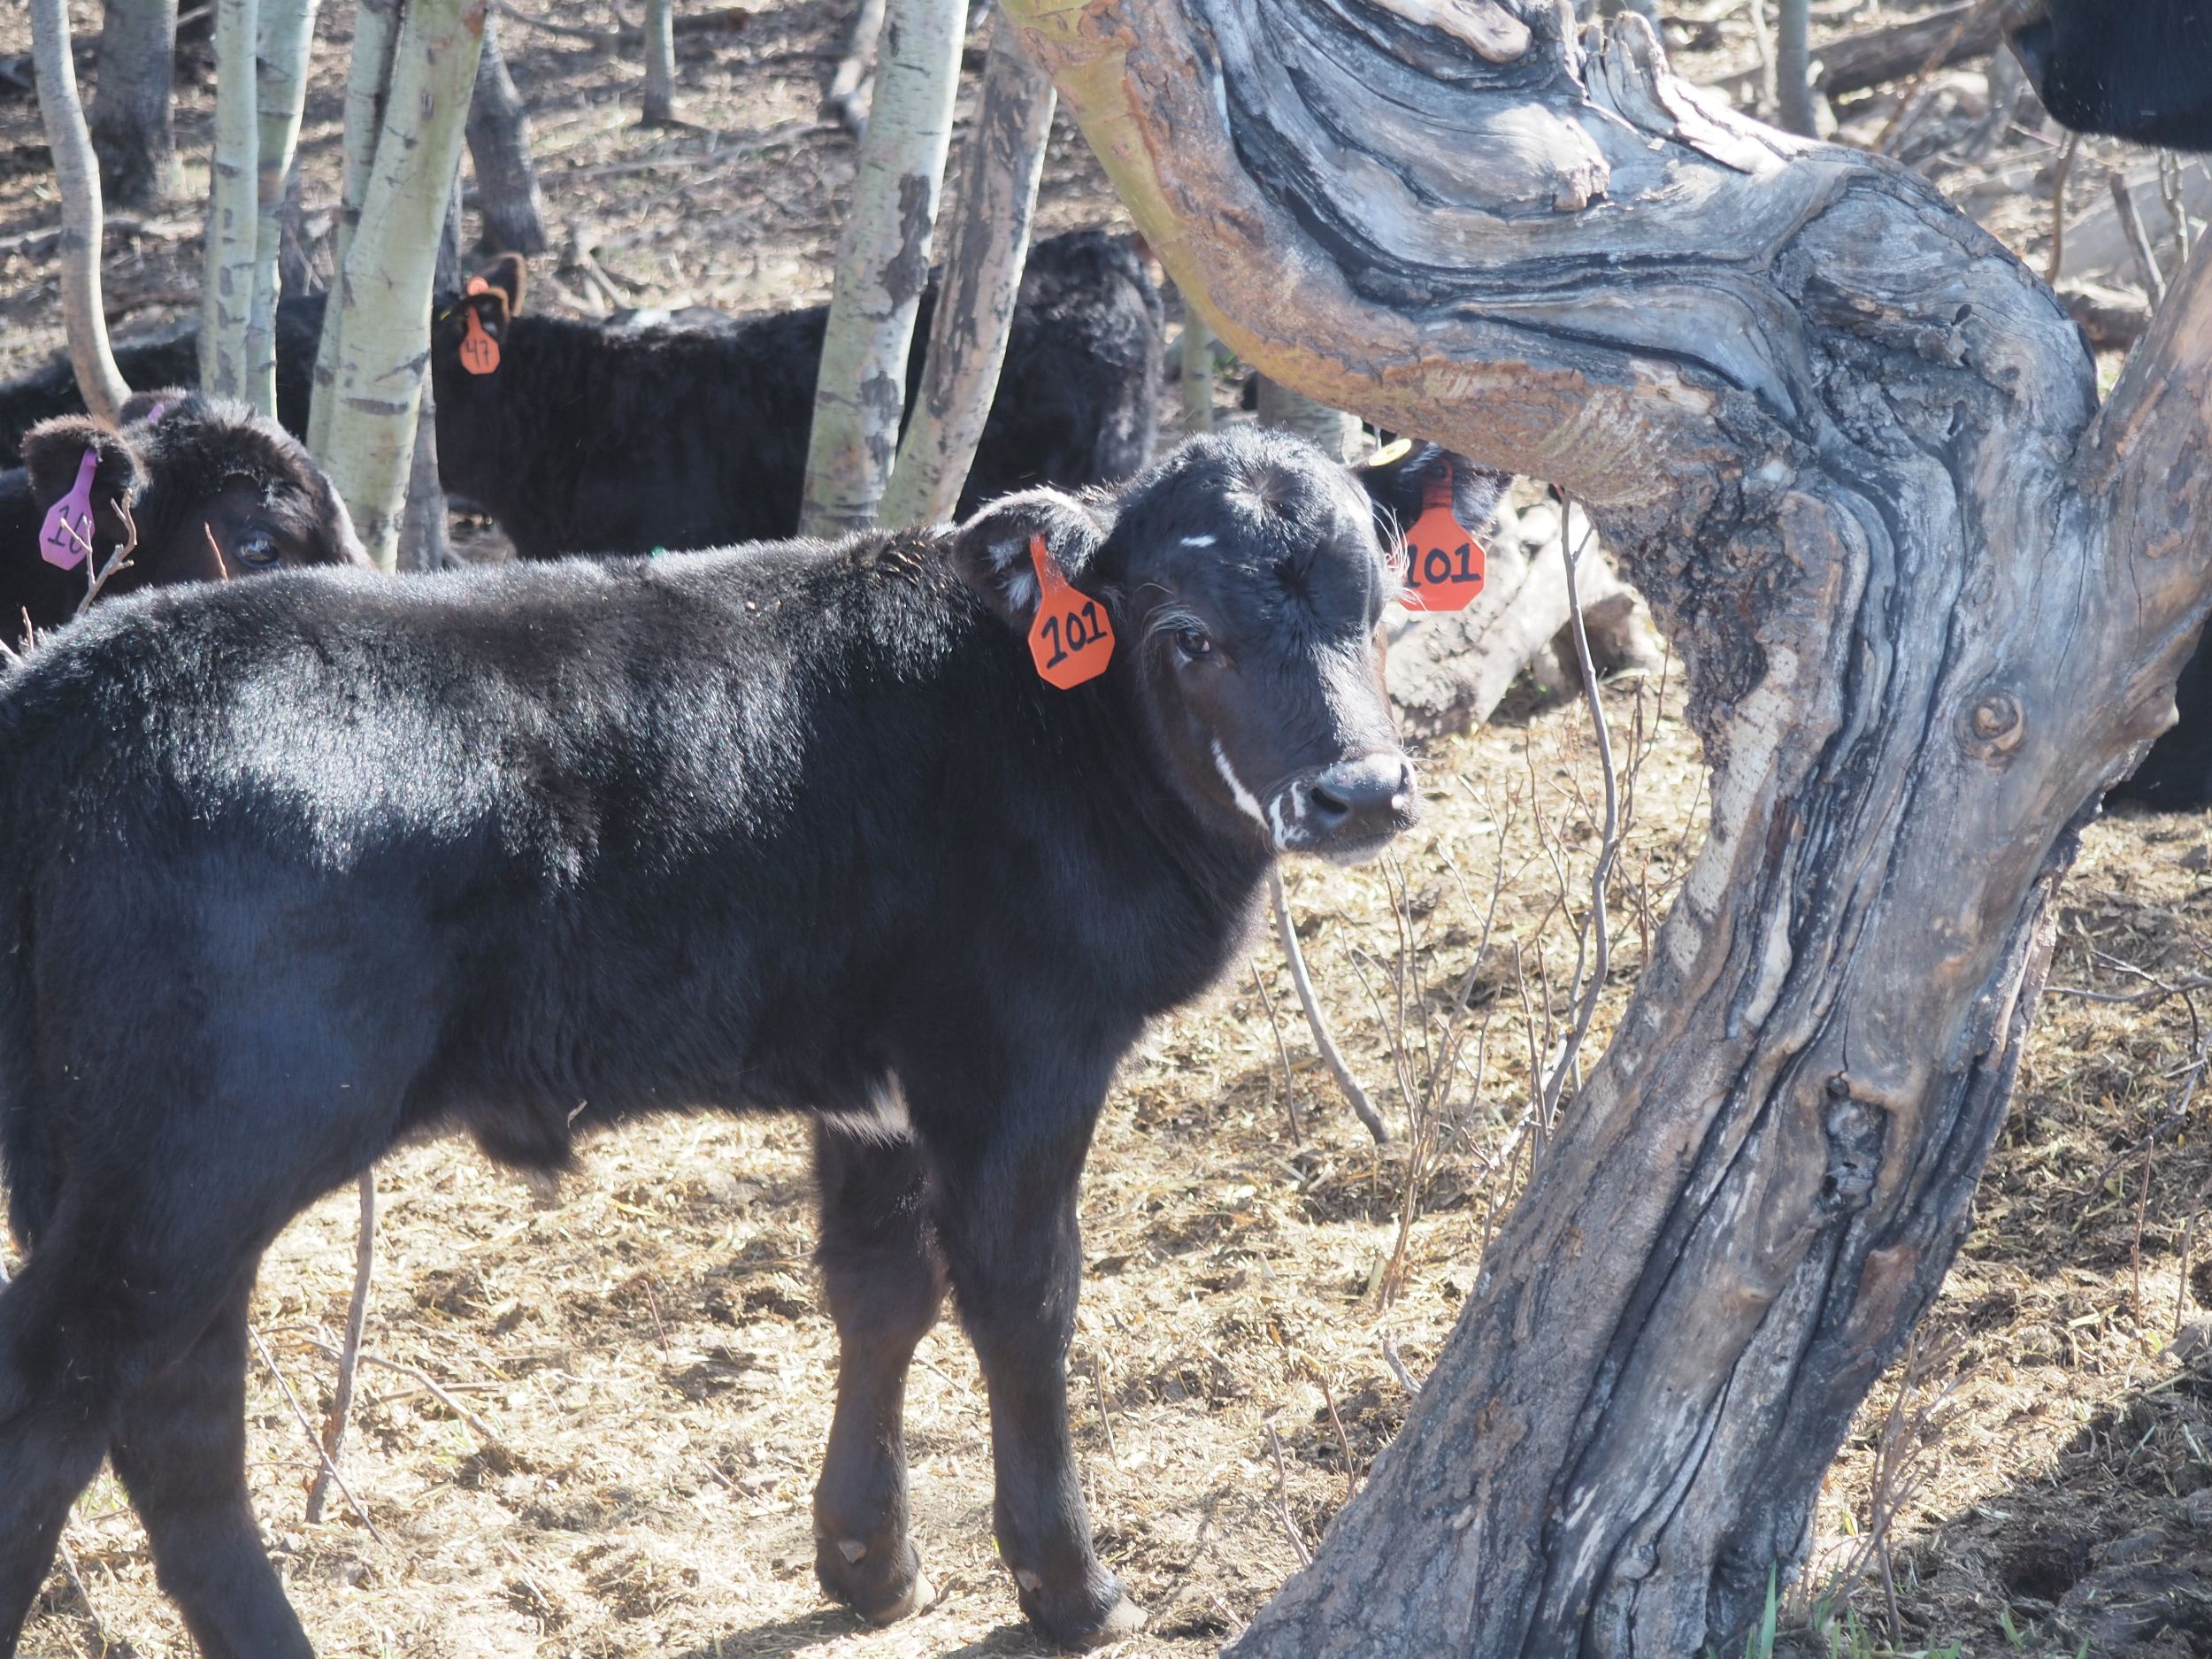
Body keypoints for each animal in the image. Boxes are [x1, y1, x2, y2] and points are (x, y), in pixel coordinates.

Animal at [0, 427, 1499, 1657]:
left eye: (1381, 601)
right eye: (1185, 630)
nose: (1361, 789)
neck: (1042, 722)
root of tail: (67, 689)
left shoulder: (873, 1078)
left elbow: (879, 1285)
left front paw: (868, 1560)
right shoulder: (1023, 1051)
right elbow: (1025, 1298)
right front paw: (1071, 1588)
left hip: (114, 1158)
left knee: (174, 1426)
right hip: (205, 1150)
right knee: (63, 1403)